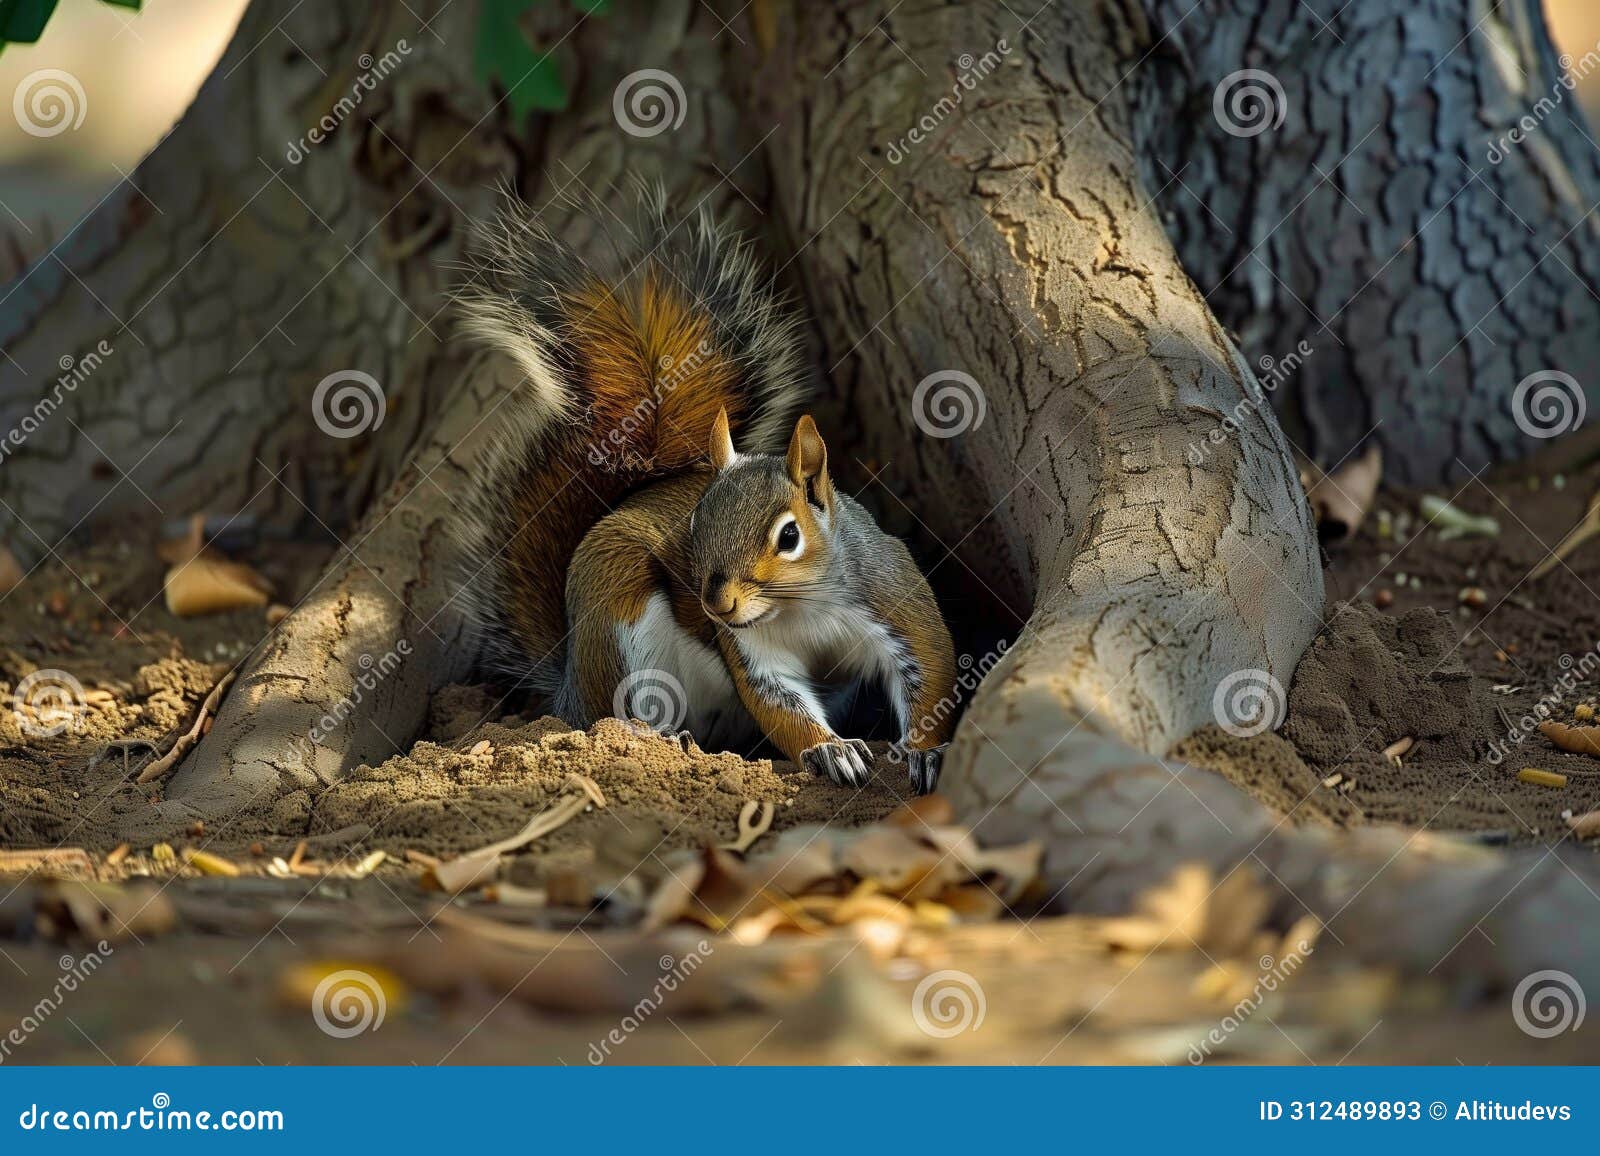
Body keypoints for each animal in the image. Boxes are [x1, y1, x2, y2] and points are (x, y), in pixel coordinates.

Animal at [453, 190, 957, 793]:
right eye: (694, 525)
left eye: (790, 536)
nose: (716, 604)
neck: (799, 608)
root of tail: (570, 679)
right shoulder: (752, 652)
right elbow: (779, 704)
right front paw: (831, 751)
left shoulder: (892, 597)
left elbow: (931, 668)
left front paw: (925, 753)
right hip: (617, 614)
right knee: (612, 715)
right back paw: (658, 738)